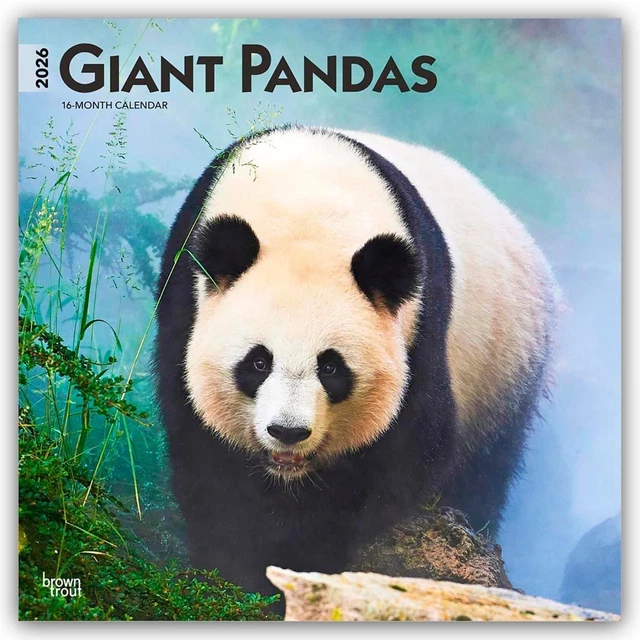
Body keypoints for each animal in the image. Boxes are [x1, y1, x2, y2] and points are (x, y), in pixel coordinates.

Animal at [155, 125, 559, 600]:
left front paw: (303, 556)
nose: (288, 432)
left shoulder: (420, 328)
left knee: (484, 473)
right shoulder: (184, 297)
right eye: (258, 363)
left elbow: (404, 455)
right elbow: (204, 450)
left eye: (331, 368)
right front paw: (236, 568)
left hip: (504, 369)